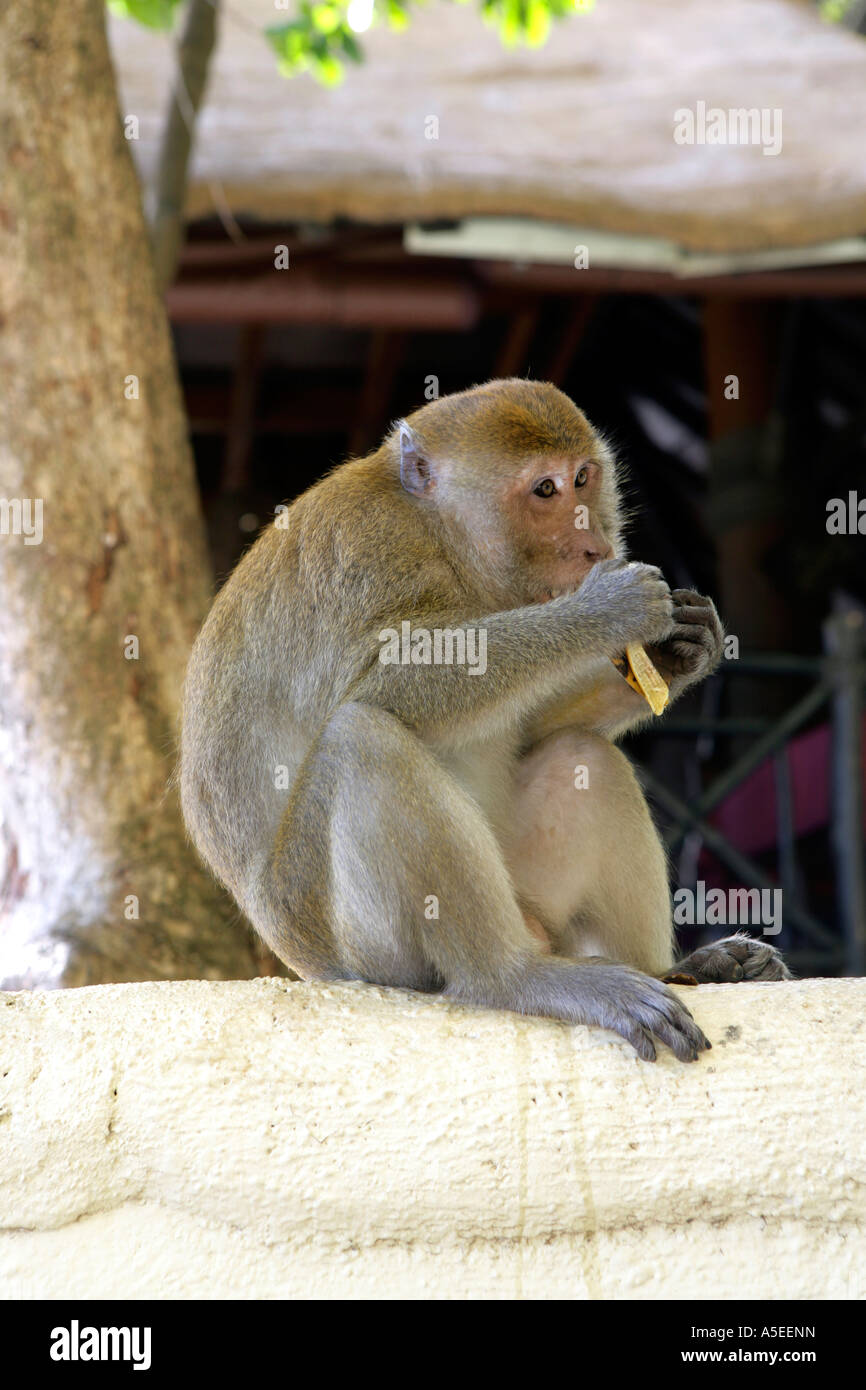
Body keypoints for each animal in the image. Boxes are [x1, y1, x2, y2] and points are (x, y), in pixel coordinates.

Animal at [180, 379, 789, 1063]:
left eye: (584, 478)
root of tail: (296, 954)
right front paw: (608, 611)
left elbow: (529, 729)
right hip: (356, 945)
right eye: (545, 490)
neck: (445, 541)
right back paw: (513, 979)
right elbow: (385, 685)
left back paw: (674, 969)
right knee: (364, 738)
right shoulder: (370, 556)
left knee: (584, 758)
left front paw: (678, 653)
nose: (596, 548)